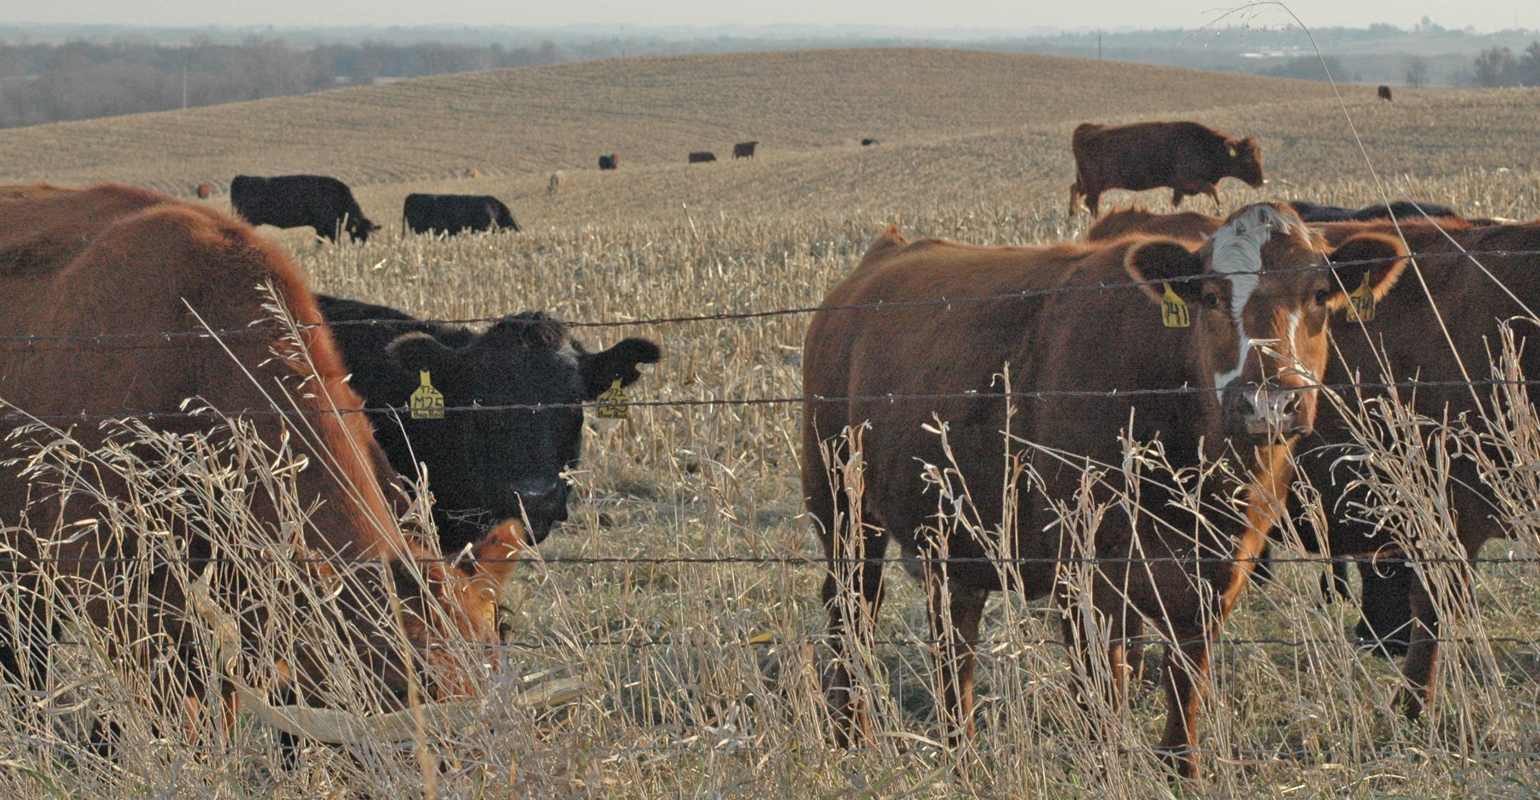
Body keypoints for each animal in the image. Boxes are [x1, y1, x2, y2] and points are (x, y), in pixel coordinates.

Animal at [230, 174, 378, 243]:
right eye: (361, 232)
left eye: (369, 235)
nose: (361, 247)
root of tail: (240, 178)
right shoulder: (330, 227)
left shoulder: (321, 228)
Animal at [803, 204, 1407, 777]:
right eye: (1212, 297)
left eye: (1320, 293)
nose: (1269, 403)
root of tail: (881, 257)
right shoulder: (1084, 570)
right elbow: (1100, 692)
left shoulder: (1219, 572)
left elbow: (1186, 682)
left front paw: (1181, 769)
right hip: (840, 508)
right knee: (852, 611)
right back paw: (851, 737)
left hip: (951, 537)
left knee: (956, 634)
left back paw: (962, 753)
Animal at [1070, 121, 1266, 216]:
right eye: (1247, 159)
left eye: (1259, 155)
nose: (1261, 181)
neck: (1205, 145)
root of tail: (1085, 129)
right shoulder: (1190, 182)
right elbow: (1213, 192)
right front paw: (1219, 212)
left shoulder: (1179, 188)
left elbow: (1176, 203)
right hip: (1095, 186)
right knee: (1091, 203)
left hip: (1086, 183)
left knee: (1075, 190)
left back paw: (1072, 216)